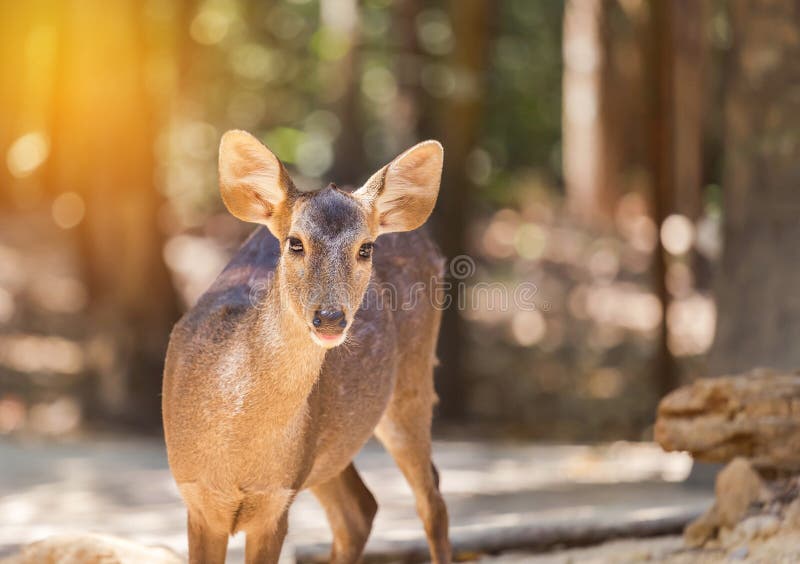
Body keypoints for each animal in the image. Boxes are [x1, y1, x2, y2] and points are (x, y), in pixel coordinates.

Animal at [162, 129, 451, 564]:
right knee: (360, 509)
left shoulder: (278, 500)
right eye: (294, 243)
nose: (329, 317)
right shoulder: (196, 496)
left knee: (431, 499)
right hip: (327, 450)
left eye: (366, 248)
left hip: (410, 385)